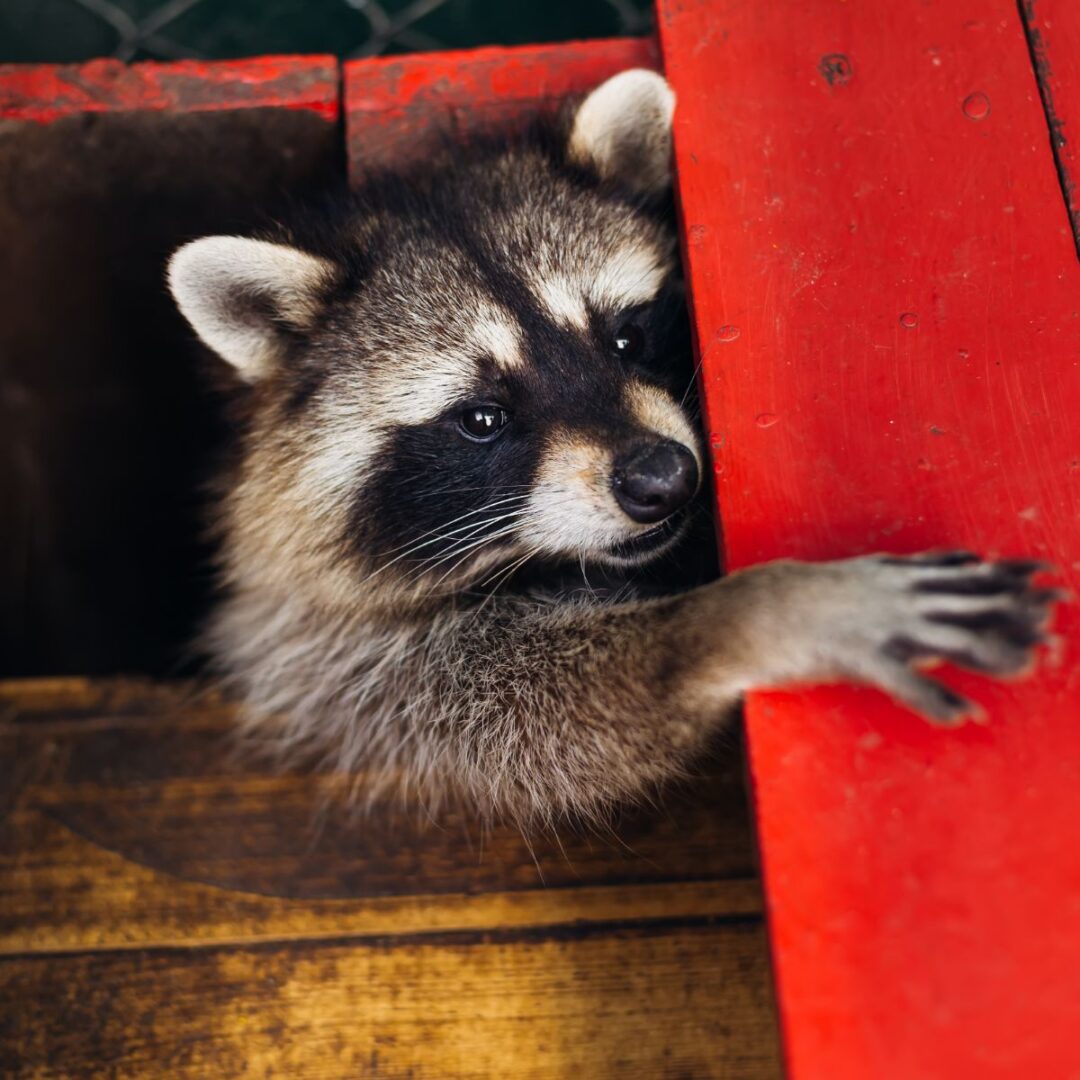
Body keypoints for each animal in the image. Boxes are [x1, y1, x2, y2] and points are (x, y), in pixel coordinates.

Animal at [168, 70, 1057, 826]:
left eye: (627, 337)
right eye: (482, 419)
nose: (663, 479)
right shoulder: (325, 649)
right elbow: (519, 719)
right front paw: (746, 616)